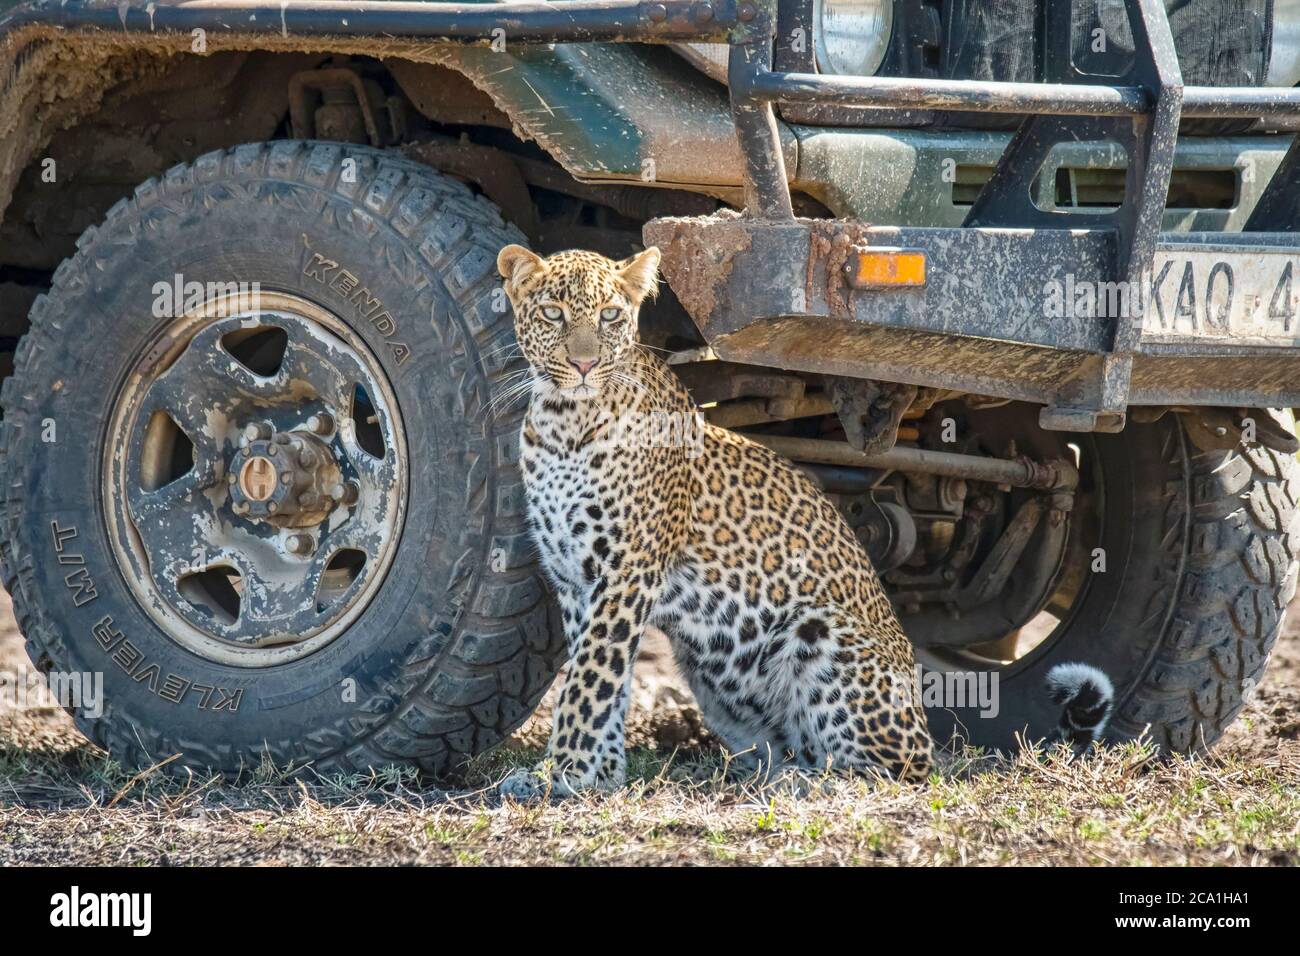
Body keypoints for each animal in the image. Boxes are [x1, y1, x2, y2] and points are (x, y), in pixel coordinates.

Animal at [494, 243, 1113, 798]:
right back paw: (764, 777)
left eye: (611, 316)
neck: (564, 422)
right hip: (715, 683)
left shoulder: (627, 573)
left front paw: (566, 775)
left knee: (887, 774)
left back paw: (805, 784)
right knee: (795, 749)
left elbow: (588, 681)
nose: (584, 365)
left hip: (818, 631)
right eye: (553, 314)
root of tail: (927, 741)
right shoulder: (576, 582)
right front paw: (597, 775)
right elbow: (602, 681)